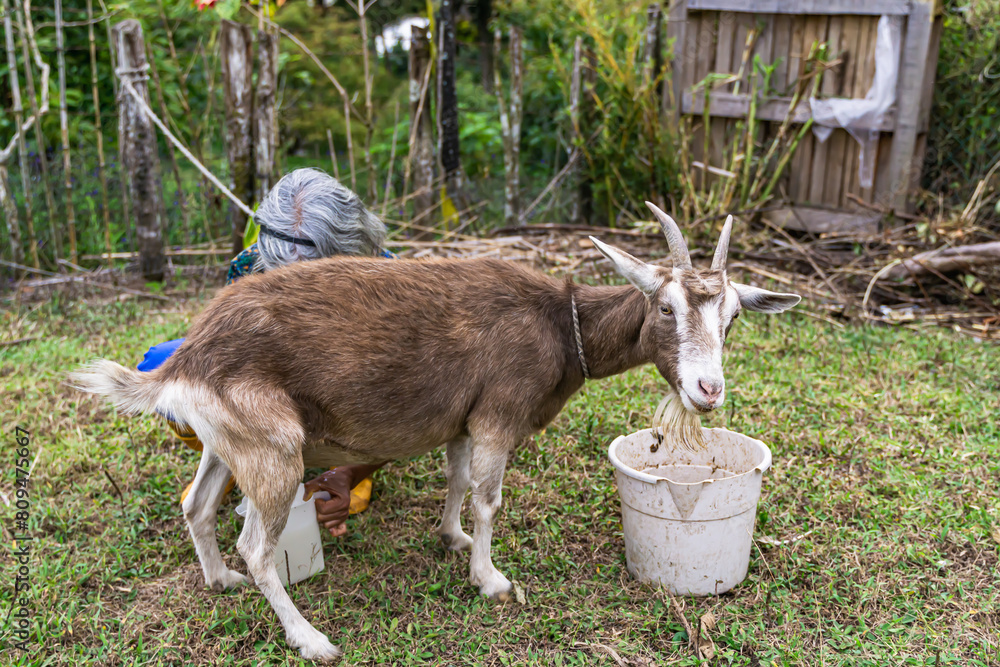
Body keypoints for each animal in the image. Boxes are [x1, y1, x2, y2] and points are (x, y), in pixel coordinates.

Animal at [72, 203, 799, 662]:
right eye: (666, 307)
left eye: (733, 316)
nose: (708, 391)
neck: (558, 324)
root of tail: (185, 359)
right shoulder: (500, 413)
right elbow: (489, 499)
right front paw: (490, 578)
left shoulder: (464, 417)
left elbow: (455, 480)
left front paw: (452, 539)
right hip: (274, 446)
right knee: (256, 544)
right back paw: (309, 638)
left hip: (229, 442)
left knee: (196, 506)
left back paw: (220, 580)